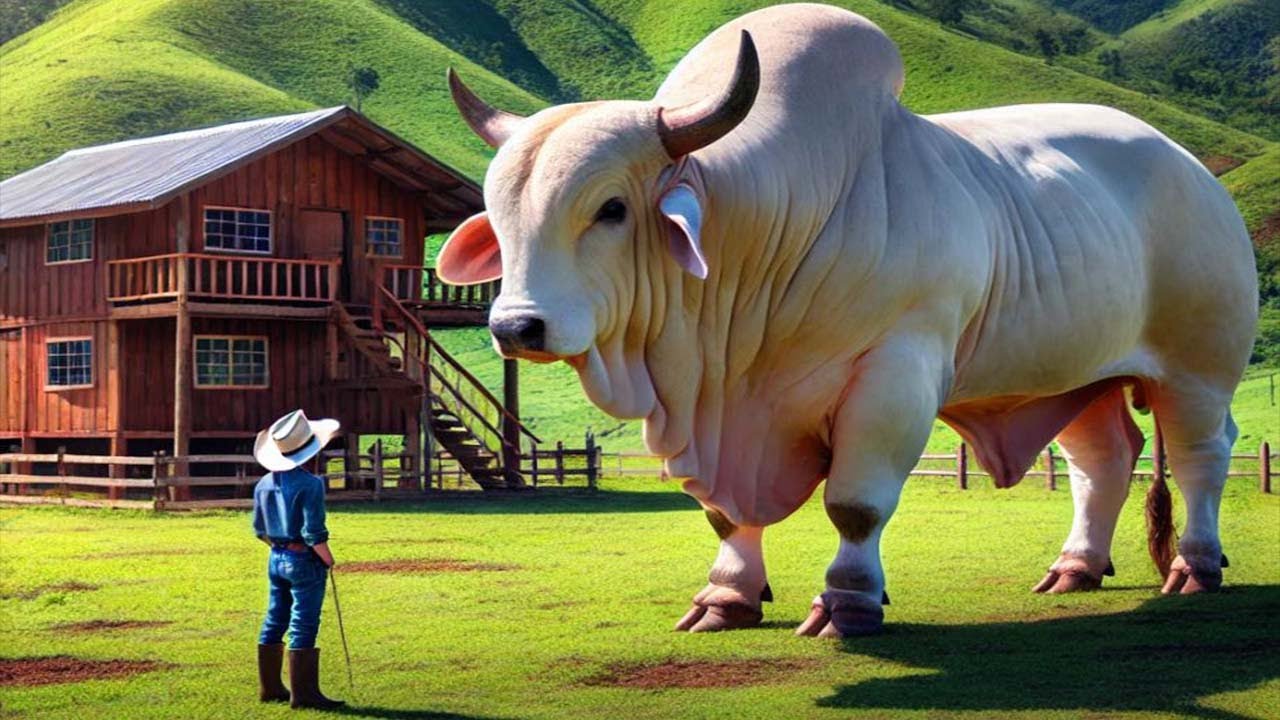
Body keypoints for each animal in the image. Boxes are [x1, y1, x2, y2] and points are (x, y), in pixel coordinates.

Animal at [436, 3, 1257, 637]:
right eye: (502, 216)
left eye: (611, 208)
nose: (516, 328)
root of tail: (1193, 167)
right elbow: (724, 516)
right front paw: (727, 596)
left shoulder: (895, 375)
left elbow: (856, 504)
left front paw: (848, 603)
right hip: (1073, 377)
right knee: (1102, 463)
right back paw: (1075, 567)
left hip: (1199, 370)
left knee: (1200, 457)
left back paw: (1196, 565)